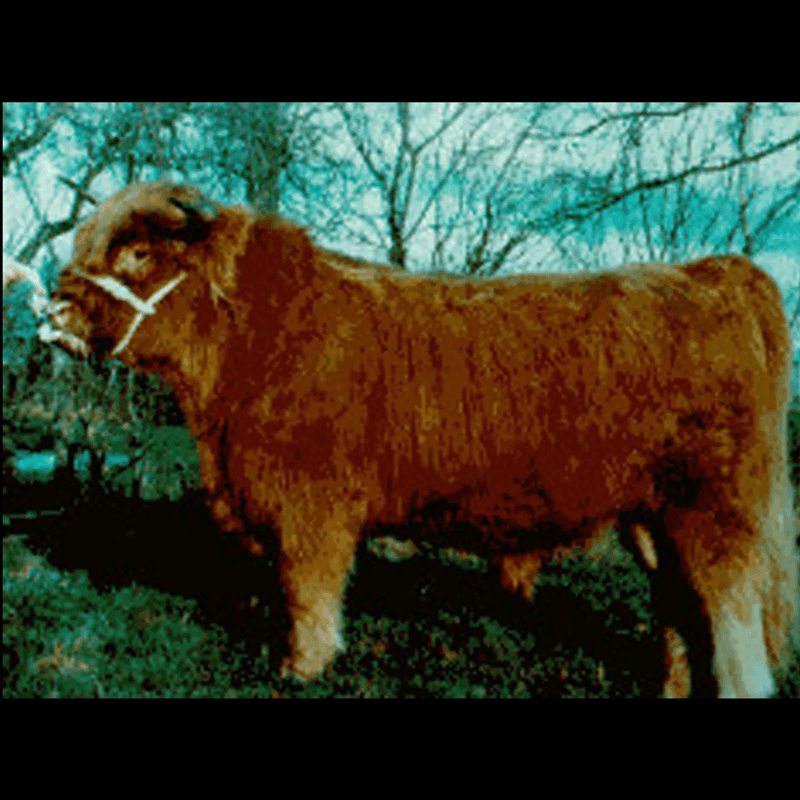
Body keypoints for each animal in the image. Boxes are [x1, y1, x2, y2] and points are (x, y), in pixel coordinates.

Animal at [39, 181, 798, 696]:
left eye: (138, 252)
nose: (54, 311)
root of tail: (711, 272)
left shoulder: (310, 511)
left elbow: (307, 594)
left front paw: (299, 667)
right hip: (652, 516)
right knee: (678, 608)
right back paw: (670, 685)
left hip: (714, 512)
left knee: (729, 612)